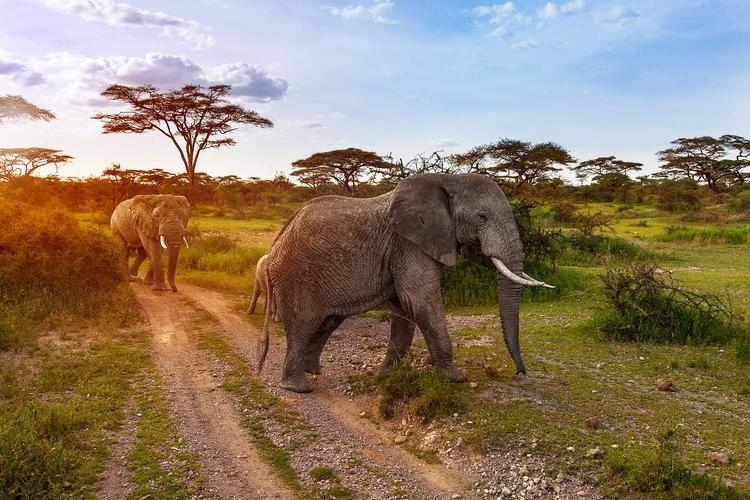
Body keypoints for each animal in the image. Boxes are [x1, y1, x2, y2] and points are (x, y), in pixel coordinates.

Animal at [257, 173, 552, 393]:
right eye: (482, 217)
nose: (520, 372)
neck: (449, 179)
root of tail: (276, 242)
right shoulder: (409, 244)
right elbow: (420, 300)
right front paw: (456, 378)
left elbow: (405, 308)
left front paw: (385, 376)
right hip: (296, 276)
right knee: (303, 324)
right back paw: (298, 387)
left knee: (327, 322)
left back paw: (314, 371)